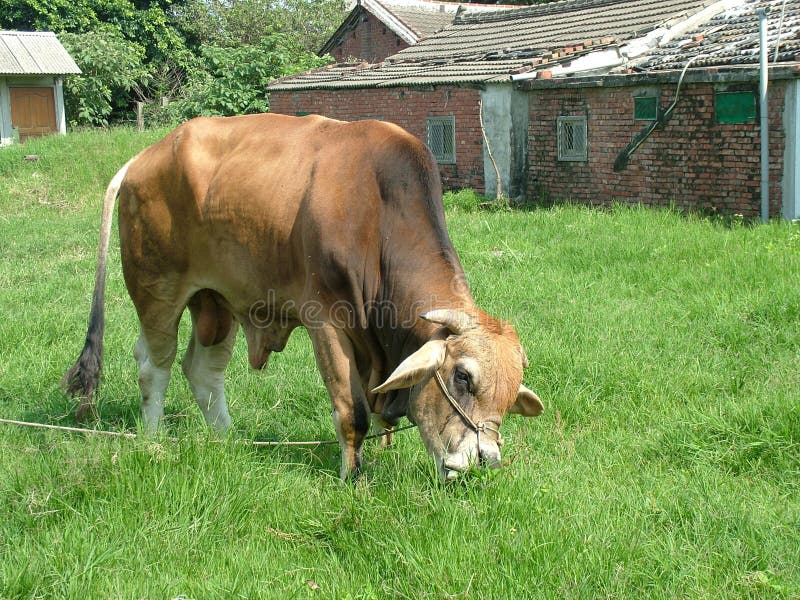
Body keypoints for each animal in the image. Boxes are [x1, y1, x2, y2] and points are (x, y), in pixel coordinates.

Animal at [63, 113, 543, 481]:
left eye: (509, 396)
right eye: (463, 377)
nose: (484, 461)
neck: (377, 213)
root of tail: (145, 156)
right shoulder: (325, 322)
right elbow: (352, 412)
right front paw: (352, 479)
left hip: (216, 301)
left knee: (202, 370)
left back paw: (227, 439)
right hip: (157, 291)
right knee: (153, 365)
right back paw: (152, 439)